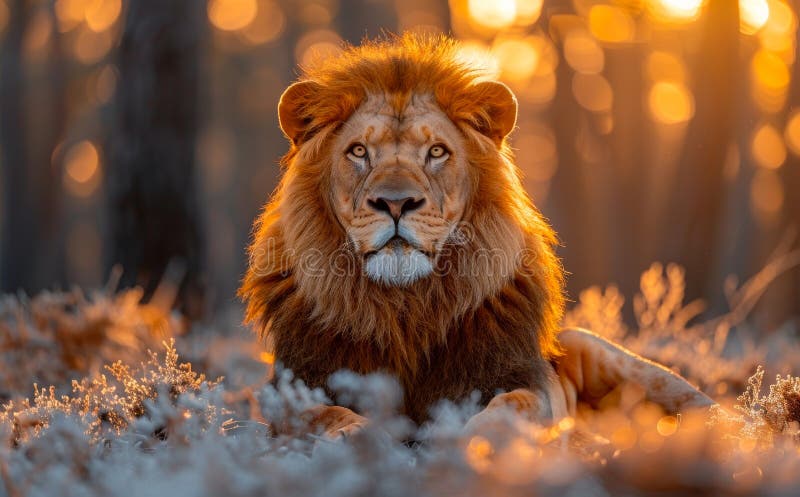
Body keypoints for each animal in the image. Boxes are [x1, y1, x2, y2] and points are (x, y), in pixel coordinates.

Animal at [240, 34, 712, 438]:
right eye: (358, 151)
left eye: (436, 152)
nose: (396, 203)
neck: (403, 308)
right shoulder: (294, 384)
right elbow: (316, 414)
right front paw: (358, 434)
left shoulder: (521, 378)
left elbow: (512, 406)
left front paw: (469, 438)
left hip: (609, 355)